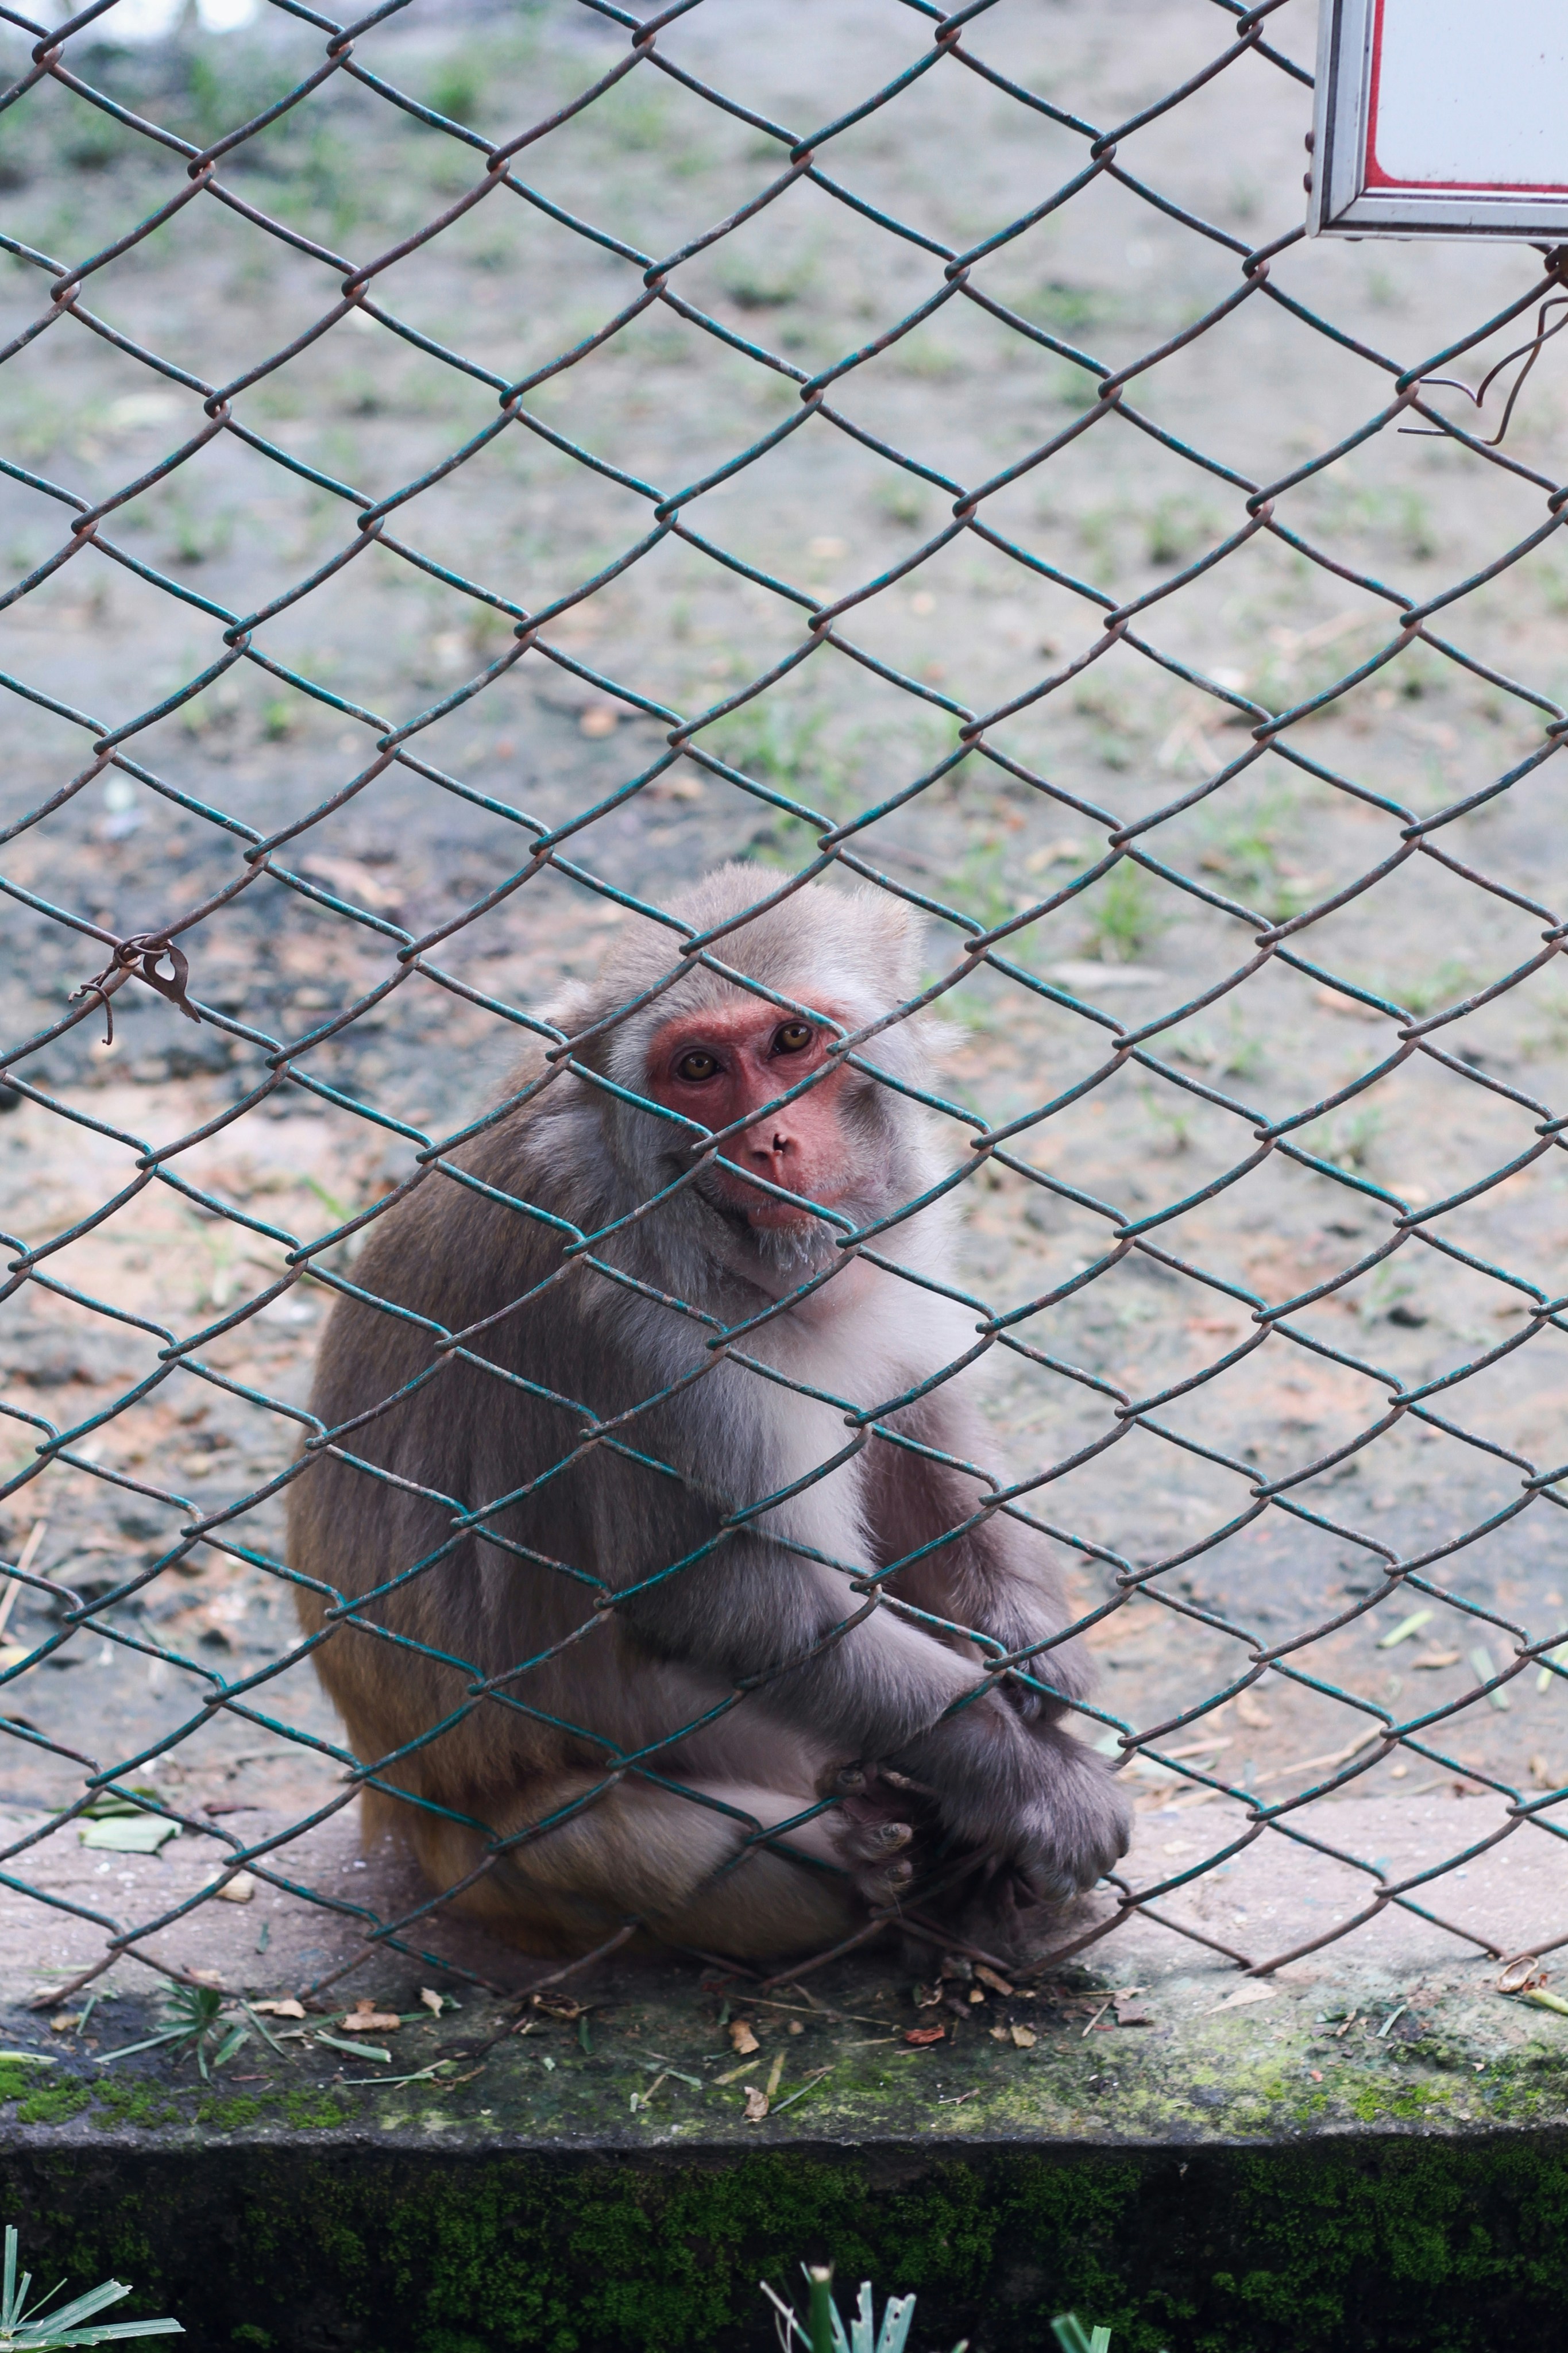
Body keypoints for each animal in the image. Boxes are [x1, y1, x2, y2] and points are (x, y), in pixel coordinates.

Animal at [286, 863, 1130, 1962]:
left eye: (791, 1040)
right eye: (697, 1068)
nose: (767, 1140)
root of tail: (394, 1807)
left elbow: (907, 1422)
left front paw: (1027, 1636)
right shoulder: (642, 1334)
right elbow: (728, 1603)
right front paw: (1035, 1781)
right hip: (495, 1864)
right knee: (602, 1840)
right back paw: (900, 1870)